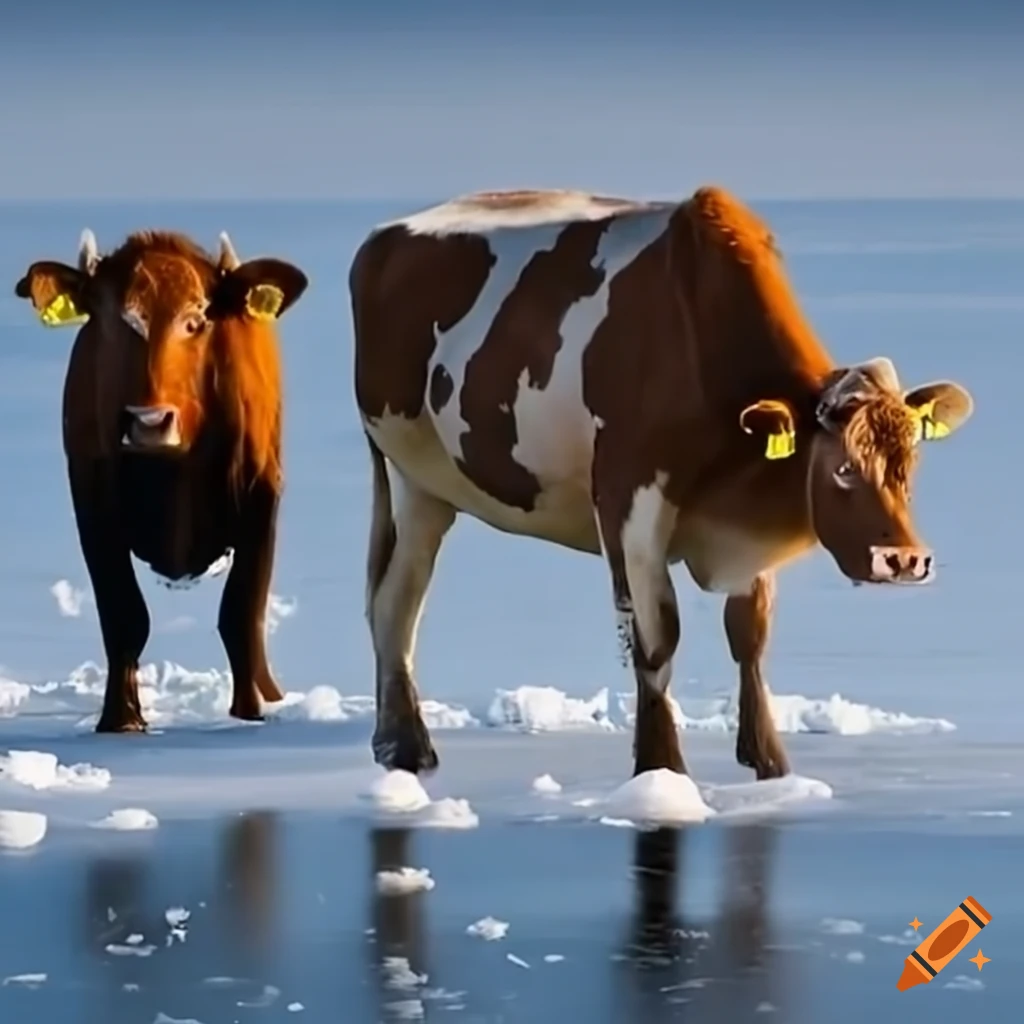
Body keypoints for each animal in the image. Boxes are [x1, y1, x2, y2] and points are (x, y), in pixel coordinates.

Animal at [15, 229, 308, 733]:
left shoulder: (260, 497)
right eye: (108, 322)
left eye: (197, 320)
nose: (148, 422)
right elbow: (124, 615)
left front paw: (247, 715)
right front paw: (120, 719)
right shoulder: (92, 501)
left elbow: (241, 613)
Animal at [349, 185, 973, 781]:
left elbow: (749, 635)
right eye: (843, 468)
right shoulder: (627, 496)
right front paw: (661, 768)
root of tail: (383, 238)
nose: (904, 560)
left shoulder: (748, 529)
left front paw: (769, 761)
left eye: (910, 466)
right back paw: (406, 746)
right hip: (409, 472)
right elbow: (655, 638)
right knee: (396, 602)